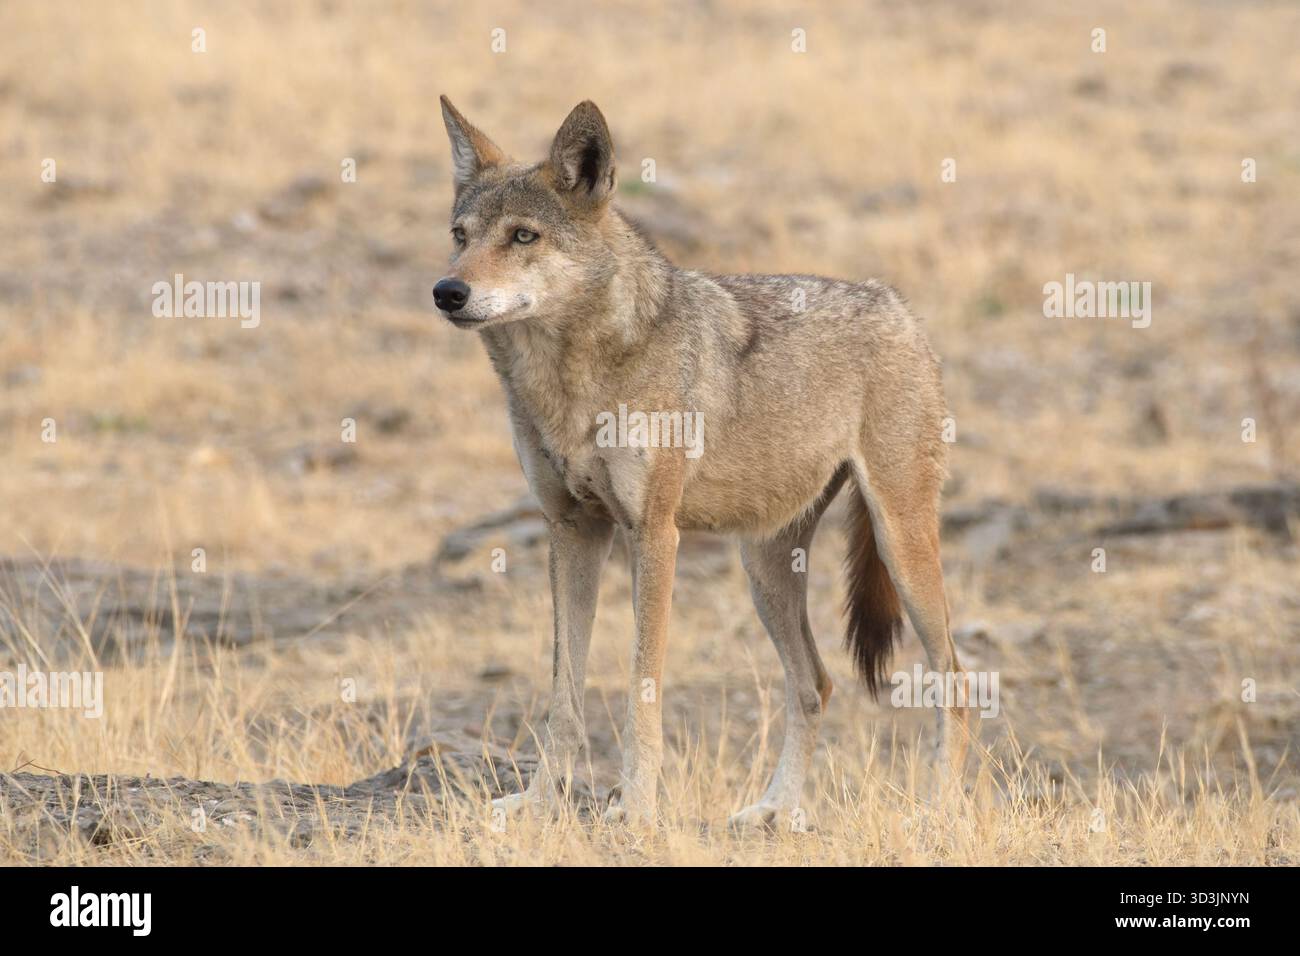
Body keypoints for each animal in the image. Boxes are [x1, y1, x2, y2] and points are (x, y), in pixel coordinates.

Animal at [434, 96, 970, 826]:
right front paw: (542, 802)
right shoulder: (572, 529)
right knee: (816, 683)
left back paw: (936, 813)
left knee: (955, 679)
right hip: (764, 569)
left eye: (522, 237)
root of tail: (898, 305)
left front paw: (635, 807)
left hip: (899, 542)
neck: (567, 380)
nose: (447, 291)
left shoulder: (654, 534)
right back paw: (771, 811)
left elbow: (643, 688)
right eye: (460, 235)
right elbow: (564, 694)